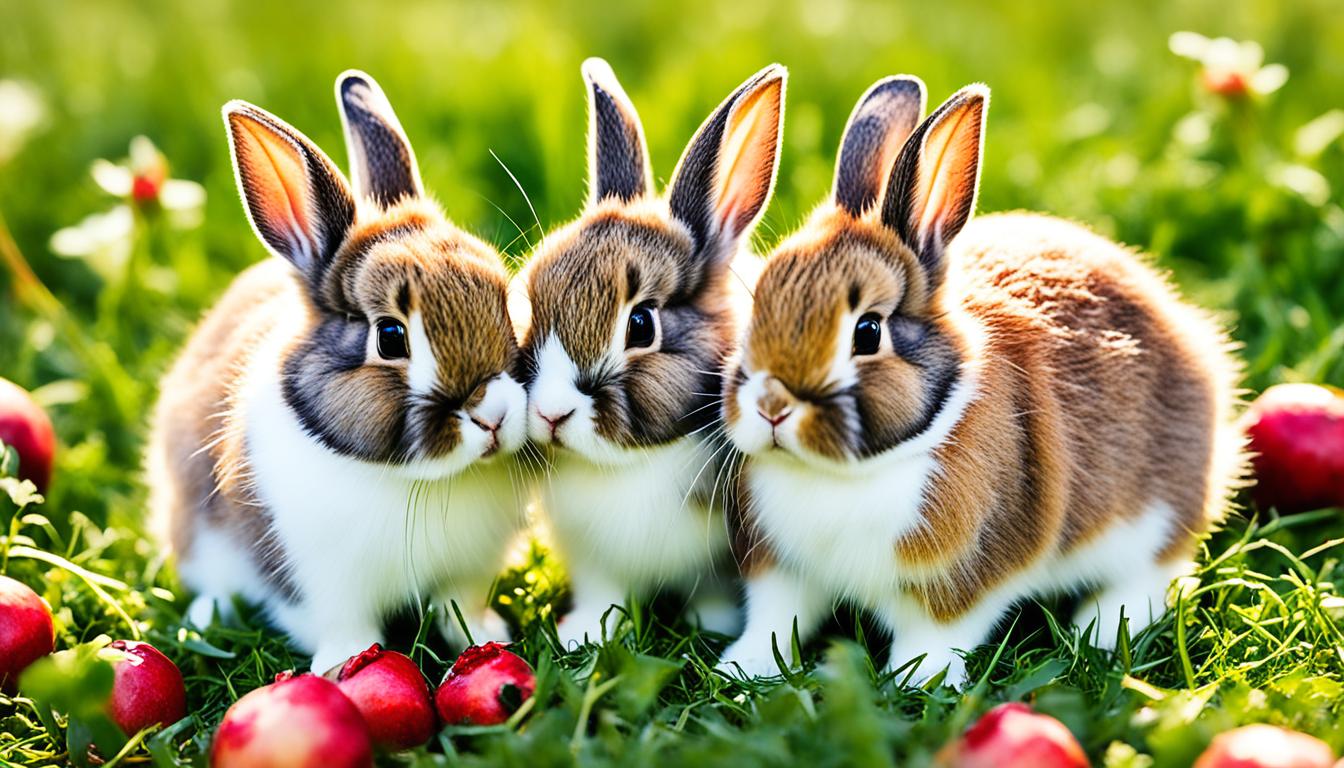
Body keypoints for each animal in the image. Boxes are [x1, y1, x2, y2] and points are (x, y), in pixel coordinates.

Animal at [147, 70, 528, 673]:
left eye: (508, 302)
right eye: (391, 336)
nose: (492, 415)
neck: (422, 481)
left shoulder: (468, 572)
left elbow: (458, 607)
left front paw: (488, 636)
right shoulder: (314, 582)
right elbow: (340, 624)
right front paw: (342, 665)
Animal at [514, 58, 785, 648]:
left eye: (641, 325)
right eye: (530, 302)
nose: (550, 414)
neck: (630, 463)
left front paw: (713, 625)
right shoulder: (593, 560)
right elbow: (605, 596)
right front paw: (582, 634)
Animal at [717, 76, 1245, 684]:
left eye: (867, 332)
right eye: (755, 311)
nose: (772, 406)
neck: (843, 475)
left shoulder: (961, 581)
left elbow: (936, 634)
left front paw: (919, 681)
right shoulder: (782, 569)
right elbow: (776, 620)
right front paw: (743, 670)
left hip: (1154, 516)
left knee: (1156, 571)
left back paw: (1102, 629)